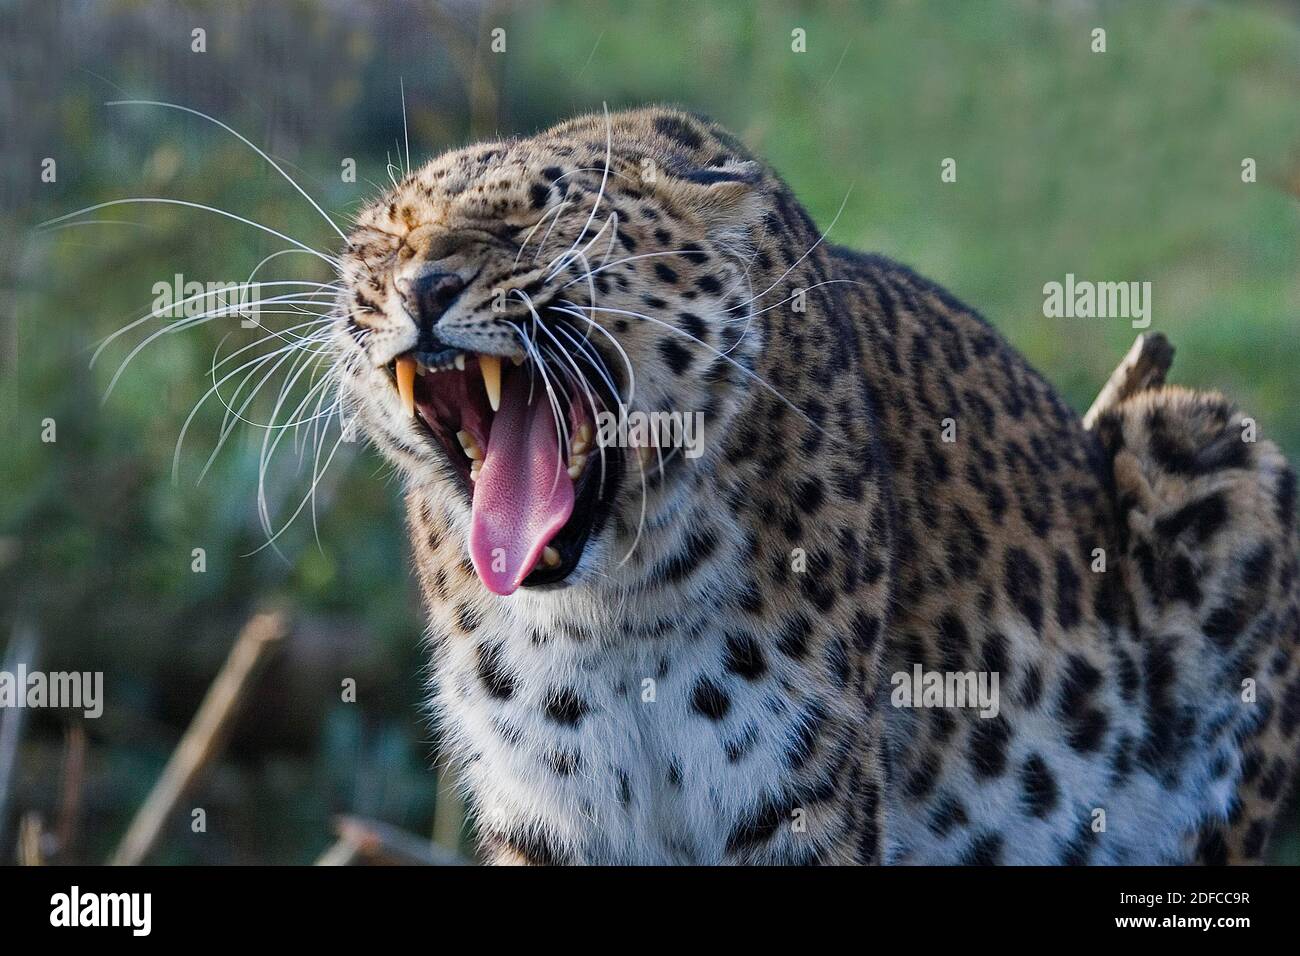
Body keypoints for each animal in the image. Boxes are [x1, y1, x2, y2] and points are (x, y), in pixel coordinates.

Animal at [331, 106, 1300, 865]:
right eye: (383, 244)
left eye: (539, 226)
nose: (423, 286)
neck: (612, 608)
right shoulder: (546, 816)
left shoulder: (803, 800)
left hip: (1209, 452)